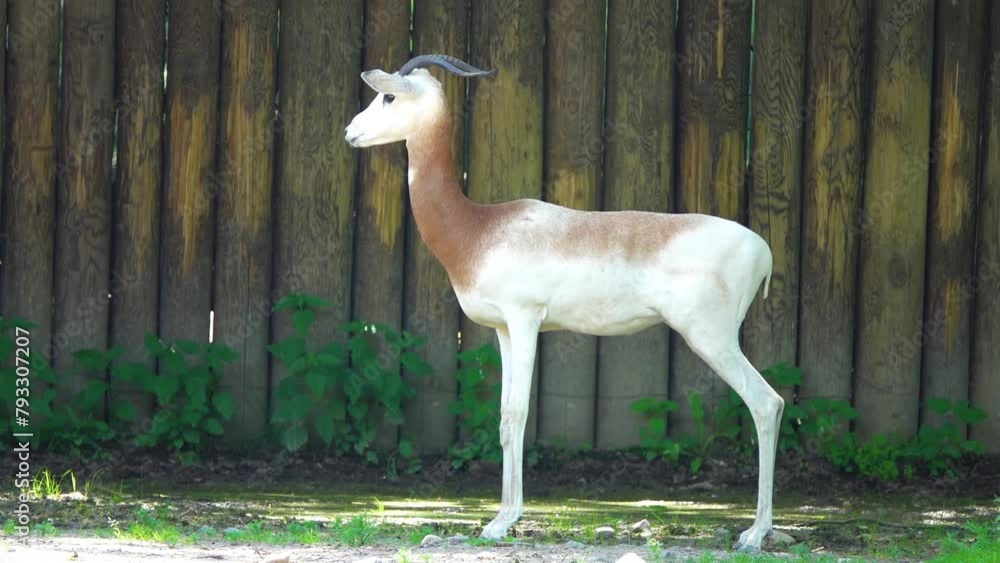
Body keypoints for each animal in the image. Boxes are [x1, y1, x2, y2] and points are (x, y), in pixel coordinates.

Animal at [345, 54, 780, 552]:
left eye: (388, 95)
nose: (350, 131)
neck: (477, 229)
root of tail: (763, 250)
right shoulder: (502, 330)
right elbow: (503, 420)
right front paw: (500, 518)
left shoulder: (526, 319)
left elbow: (518, 413)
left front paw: (503, 521)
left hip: (711, 338)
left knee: (767, 403)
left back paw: (754, 534)